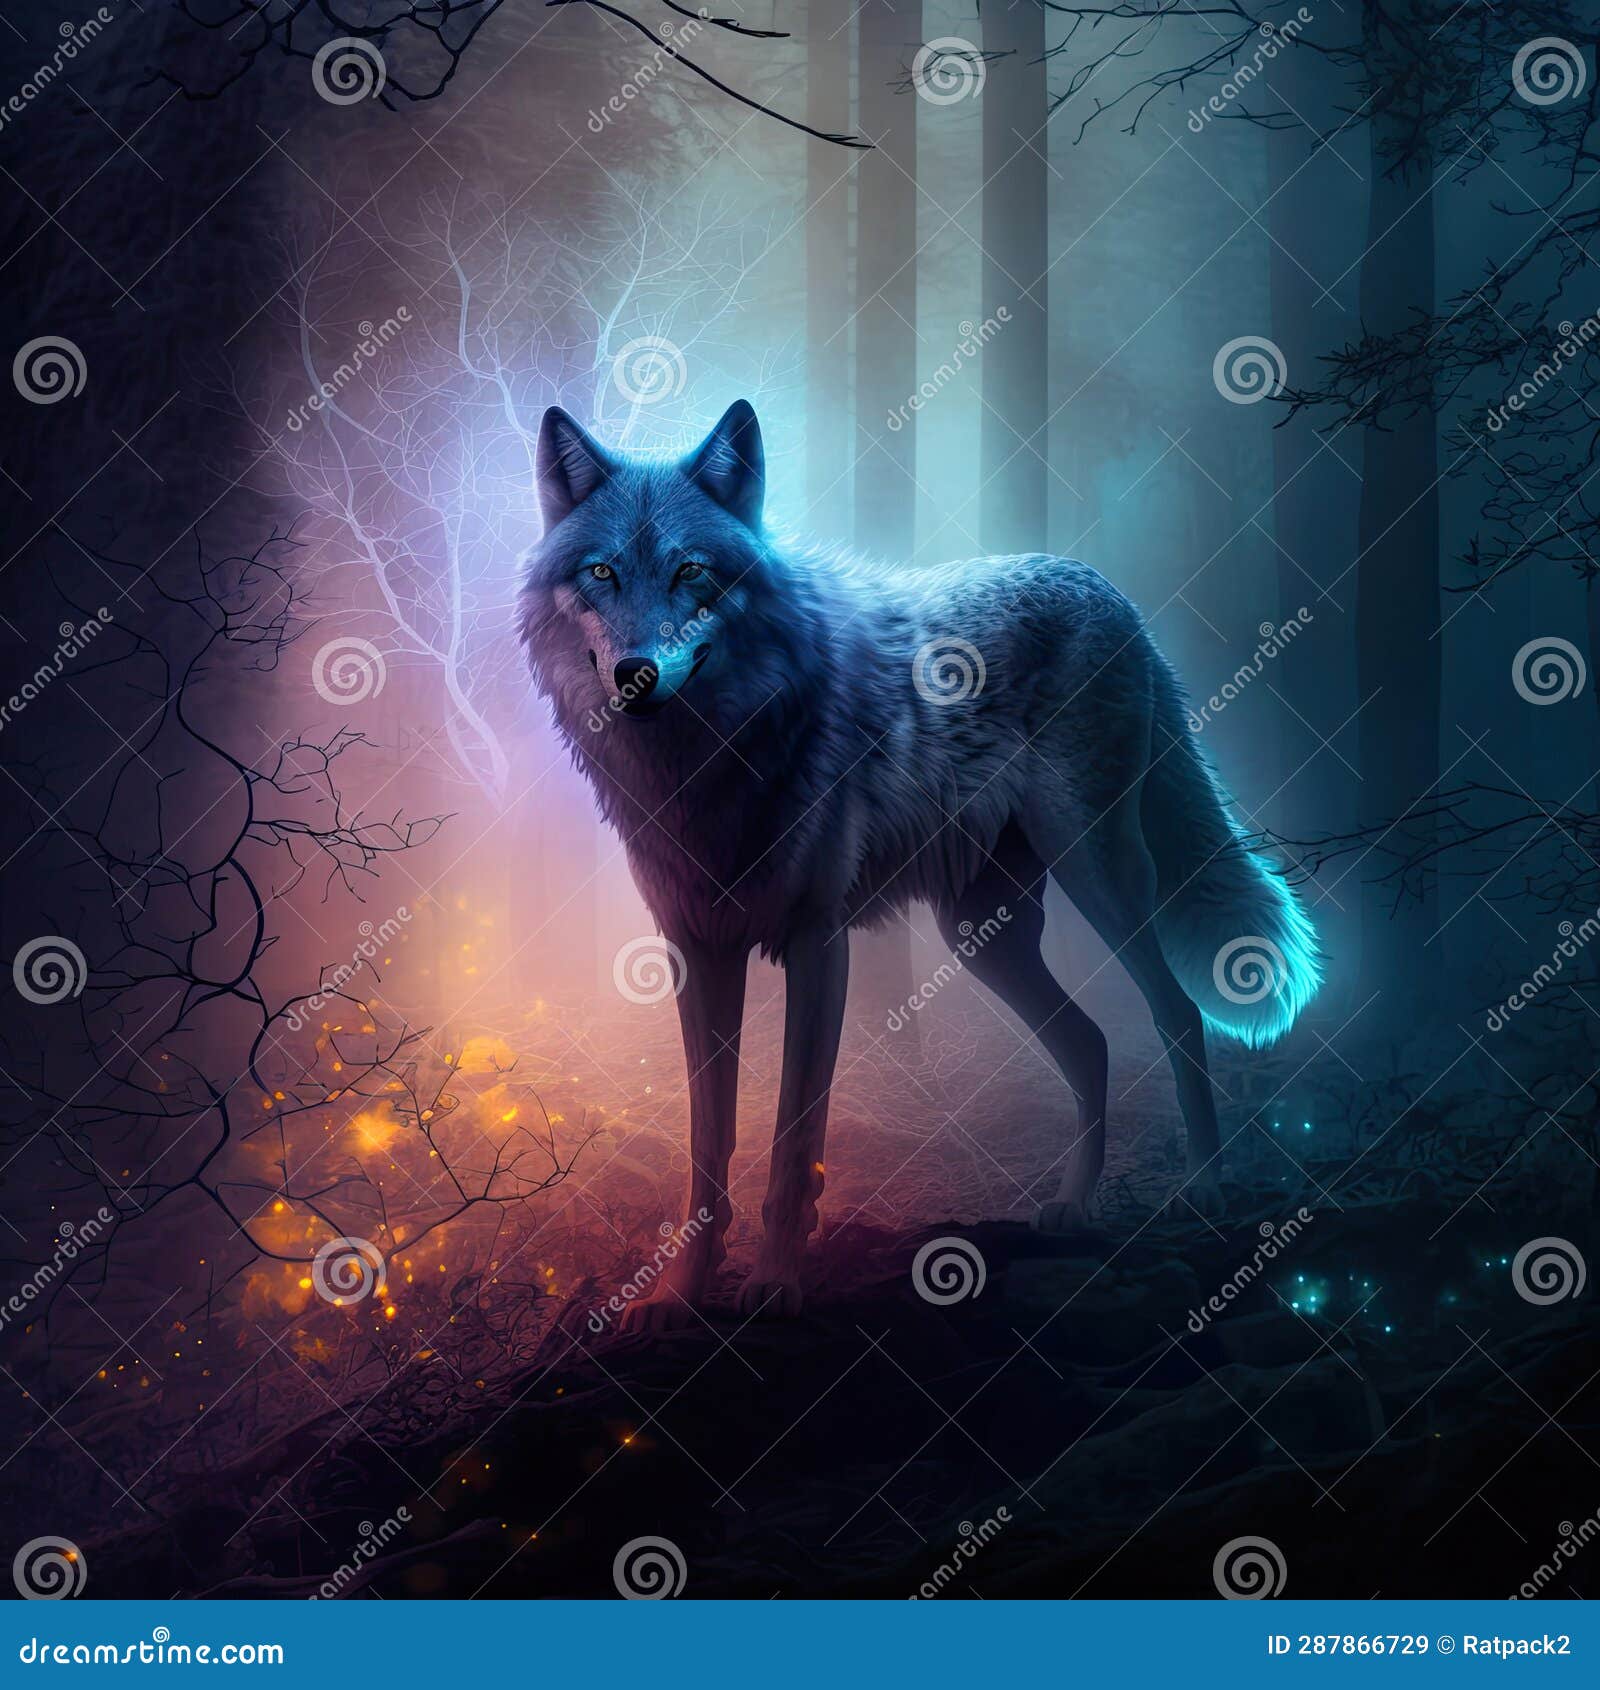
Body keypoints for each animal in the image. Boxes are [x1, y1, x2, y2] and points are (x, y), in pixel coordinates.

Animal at [520, 400, 1320, 1327]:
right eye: (602, 572)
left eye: (691, 572)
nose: (637, 674)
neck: (707, 762)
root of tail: (1106, 586)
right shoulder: (700, 953)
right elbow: (707, 1148)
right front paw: (680, 1295)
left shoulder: (817, 946)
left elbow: (793, 1140)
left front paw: (778, 1283)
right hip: (982, 936)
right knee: (1089, 1043)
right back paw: (1074, 1205)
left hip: (1098, 875)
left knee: (1178, 1014)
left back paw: (1207, 1186)